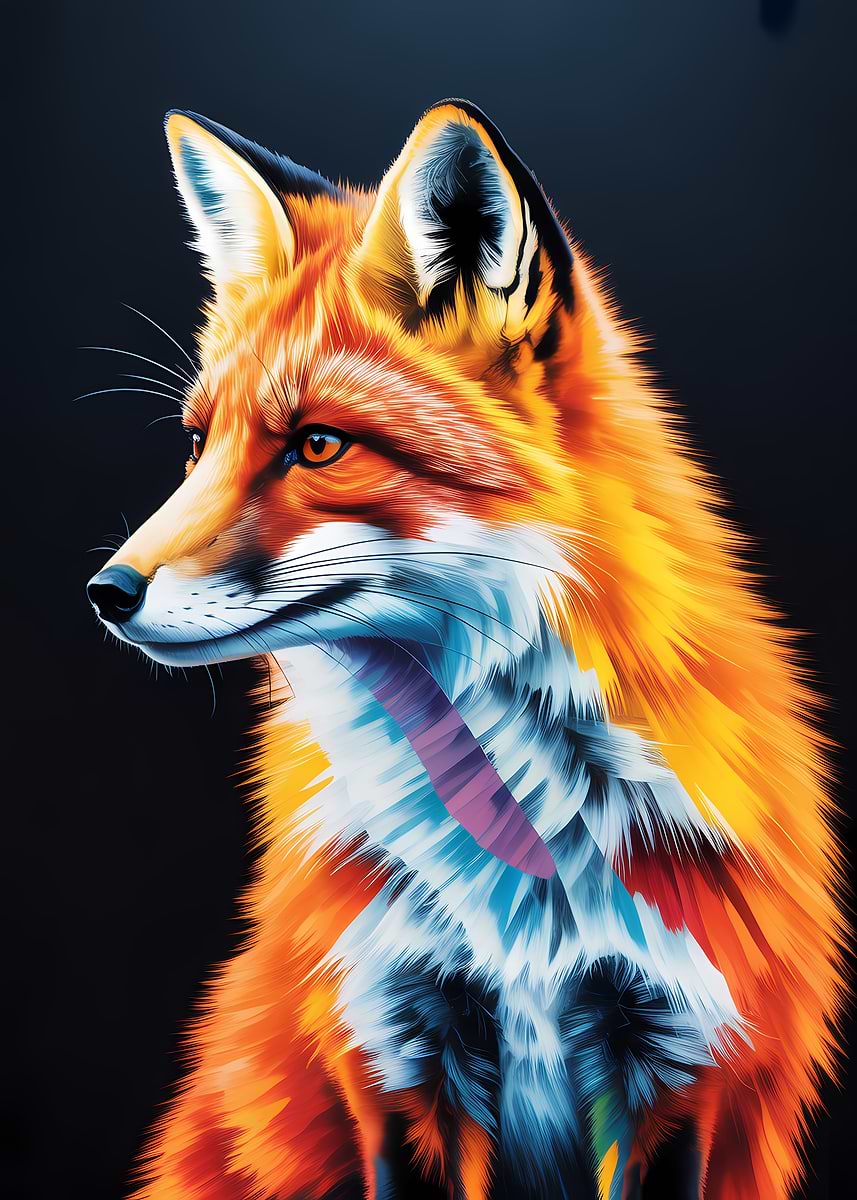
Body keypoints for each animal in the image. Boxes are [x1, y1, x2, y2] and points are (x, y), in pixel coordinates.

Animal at [86, 100, 845, 1200]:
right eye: (197, 445)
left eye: (317, 446)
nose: (105, 594)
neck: (519, 848)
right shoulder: (393, 1055)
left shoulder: (682, 1067)